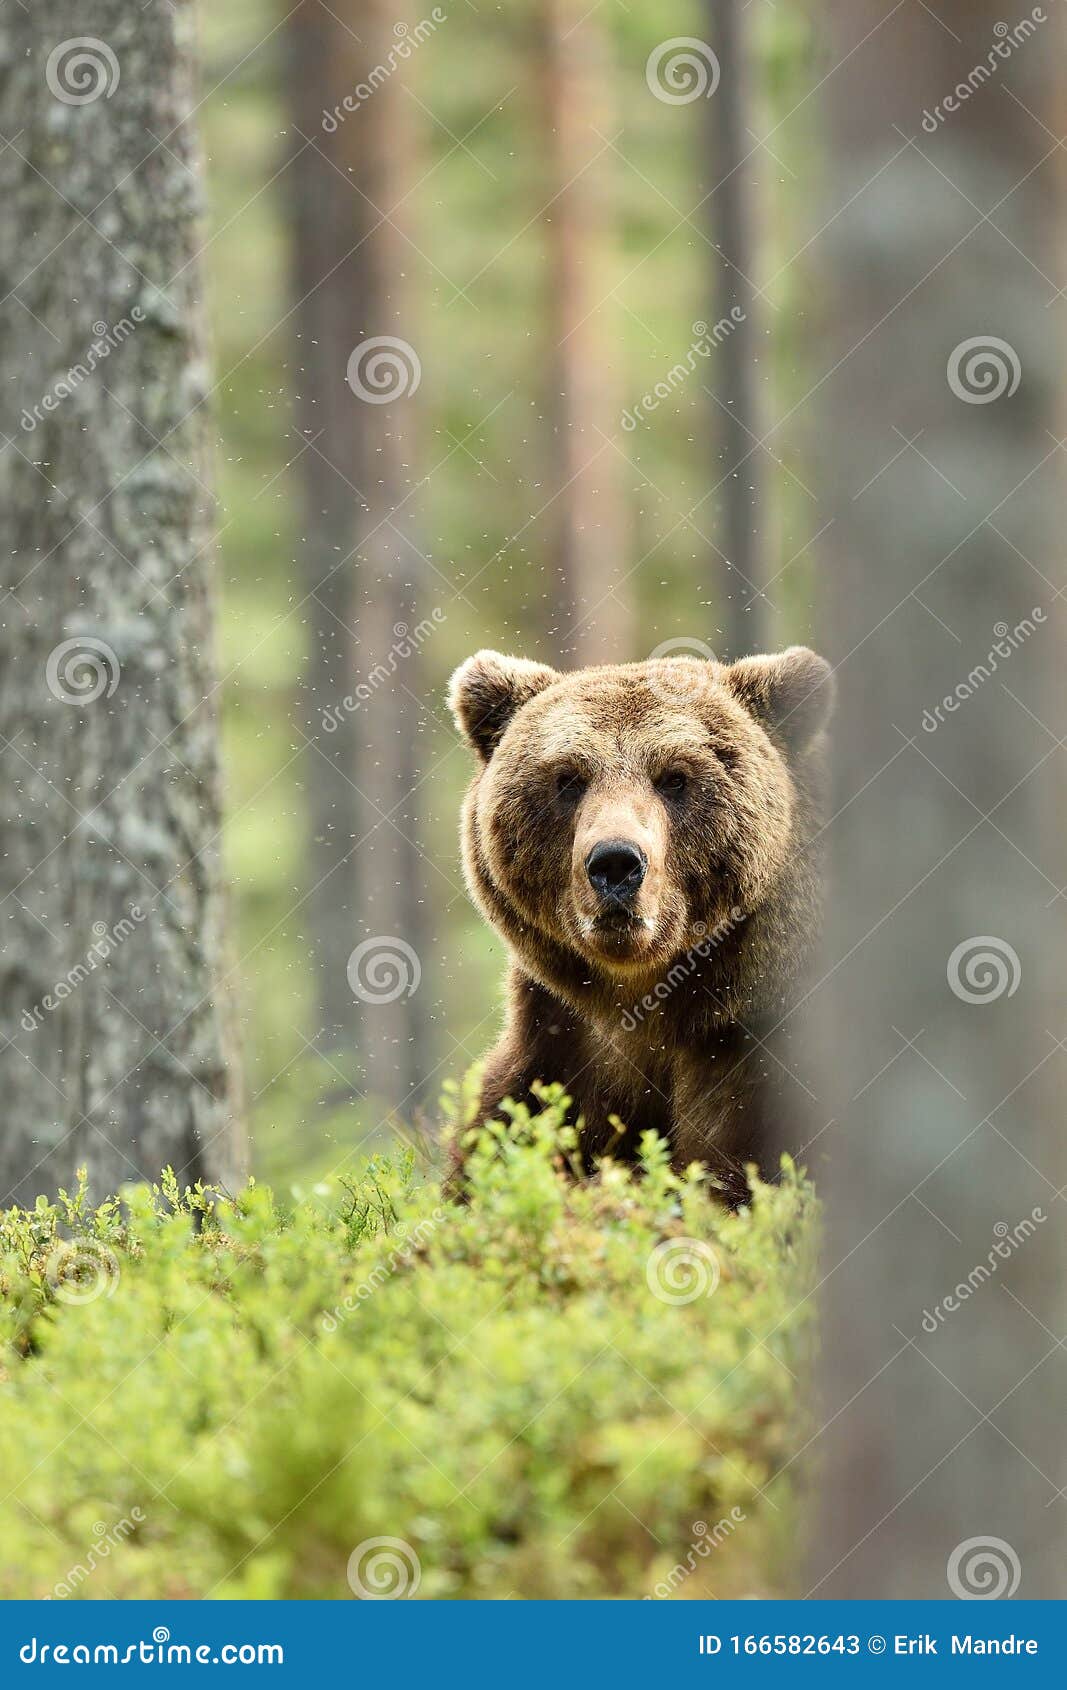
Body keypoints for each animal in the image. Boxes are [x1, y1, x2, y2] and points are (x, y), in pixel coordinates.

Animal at [448, 645, 834, 1204]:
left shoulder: (751, 1053)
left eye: (674, 777)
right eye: (568, 778)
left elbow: (732, 1177)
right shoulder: (560, 1044)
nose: (615, 863)